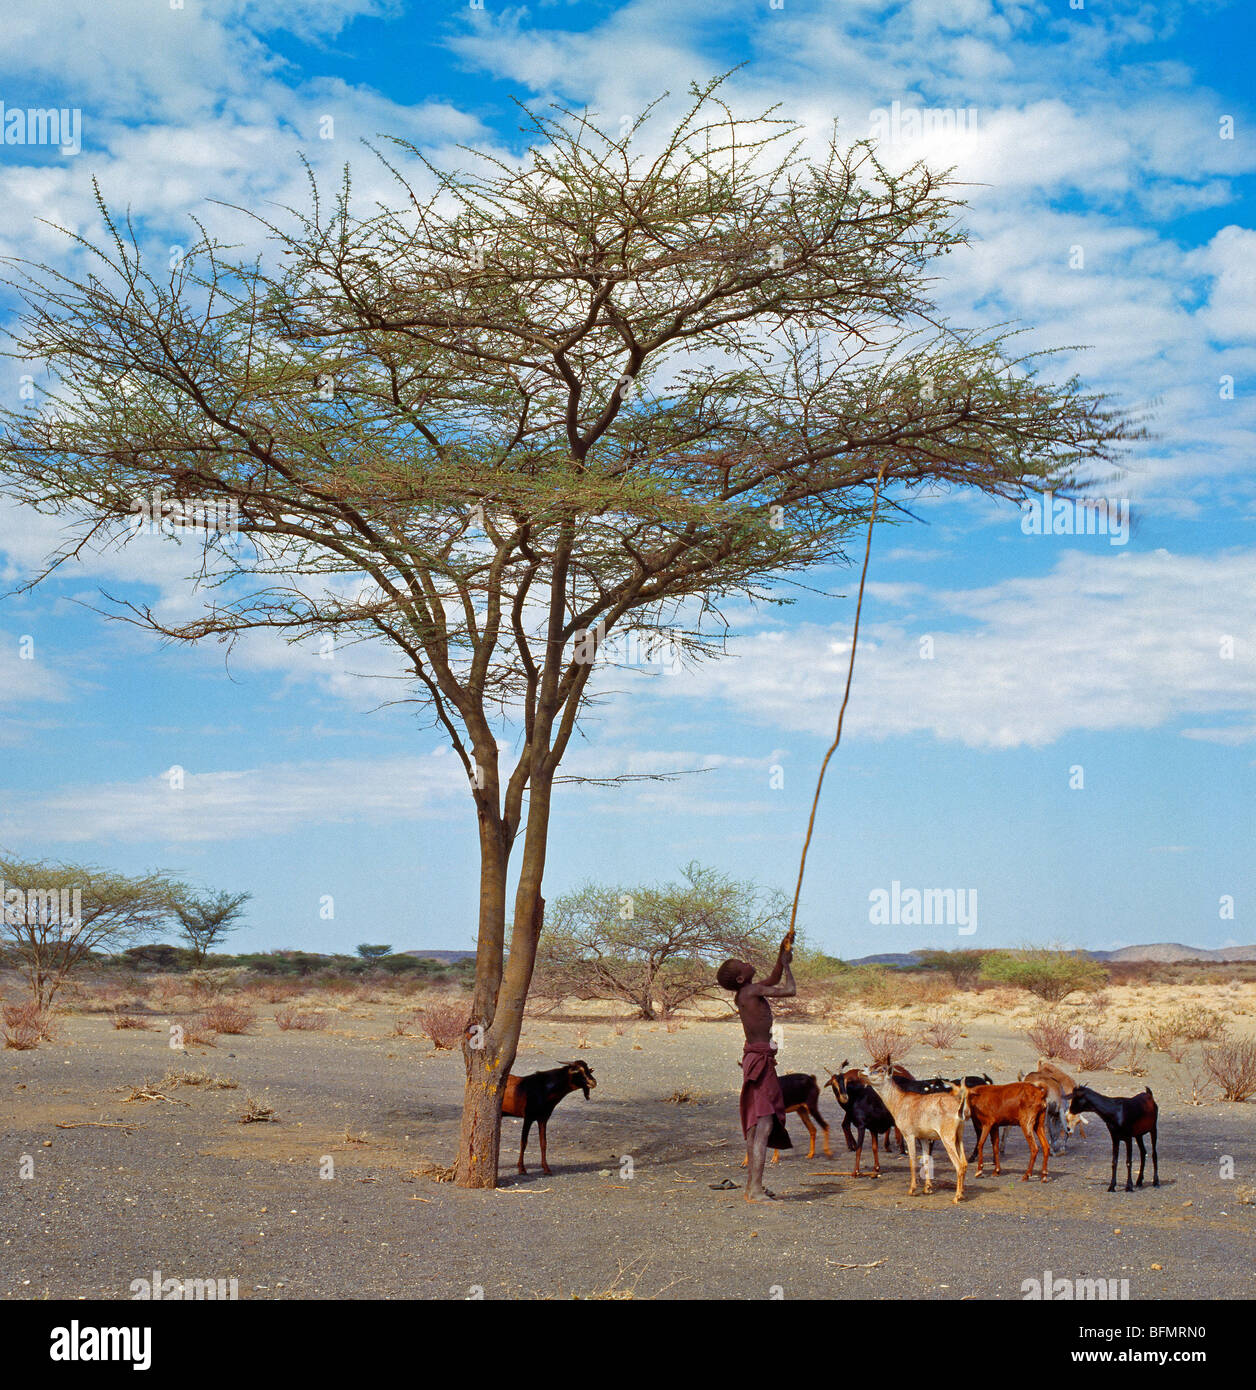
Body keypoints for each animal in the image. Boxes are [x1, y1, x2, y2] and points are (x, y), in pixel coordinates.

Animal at [863, 1066, 968, 1202]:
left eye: (880, 1070)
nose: (862, 1073)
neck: (898, 1102)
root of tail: (959, 1108)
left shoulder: (909, 1134)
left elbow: (912, 1160)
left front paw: (912, 1190)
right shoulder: (923, 1137)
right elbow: (926, 1159)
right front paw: (927, 1188)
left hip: (947, 1137)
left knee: (959, 1165)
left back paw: (956, 1197)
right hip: (959, 1135)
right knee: (964, 1163)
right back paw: (962, 1193)